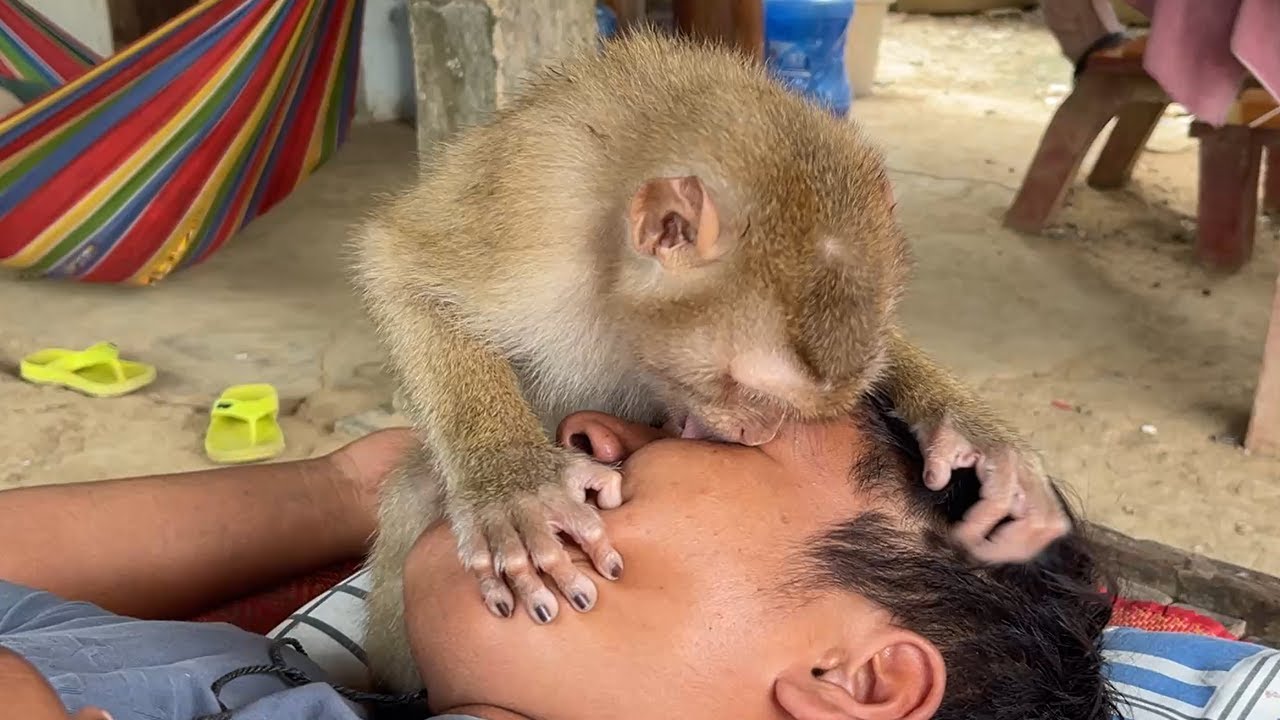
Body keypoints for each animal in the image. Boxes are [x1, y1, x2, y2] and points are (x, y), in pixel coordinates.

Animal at [352, 28, 1070, 692]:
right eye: (744, 388)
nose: (760, 433)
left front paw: (968, 431)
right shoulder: (531, 209)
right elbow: (400, 267)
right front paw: (512, 480)